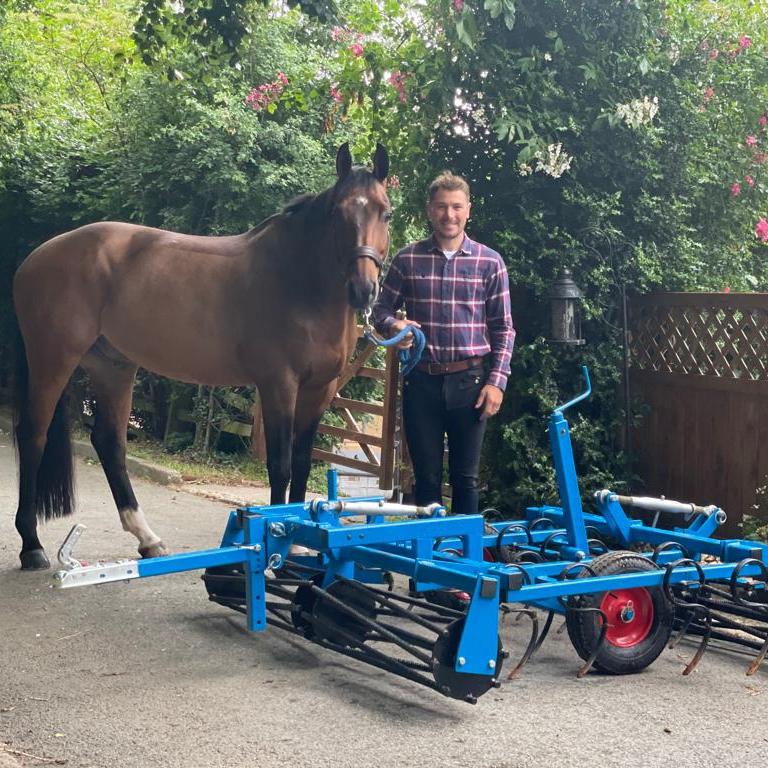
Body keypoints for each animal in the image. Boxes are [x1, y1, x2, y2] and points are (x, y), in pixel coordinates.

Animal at [11, 143, 391, 570]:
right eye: (337, 213)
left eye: (386, 212)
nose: (364, 289)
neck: (298, 280)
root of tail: (35, 258)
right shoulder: (279, 385)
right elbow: (280, 465)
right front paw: (281, 539)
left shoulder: (320, 390)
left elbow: (302, 462)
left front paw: (300, 544)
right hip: (53, 358)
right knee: (33, 435)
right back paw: (32, 545)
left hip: (113, 366)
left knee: (109, 442)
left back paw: (148, 539)